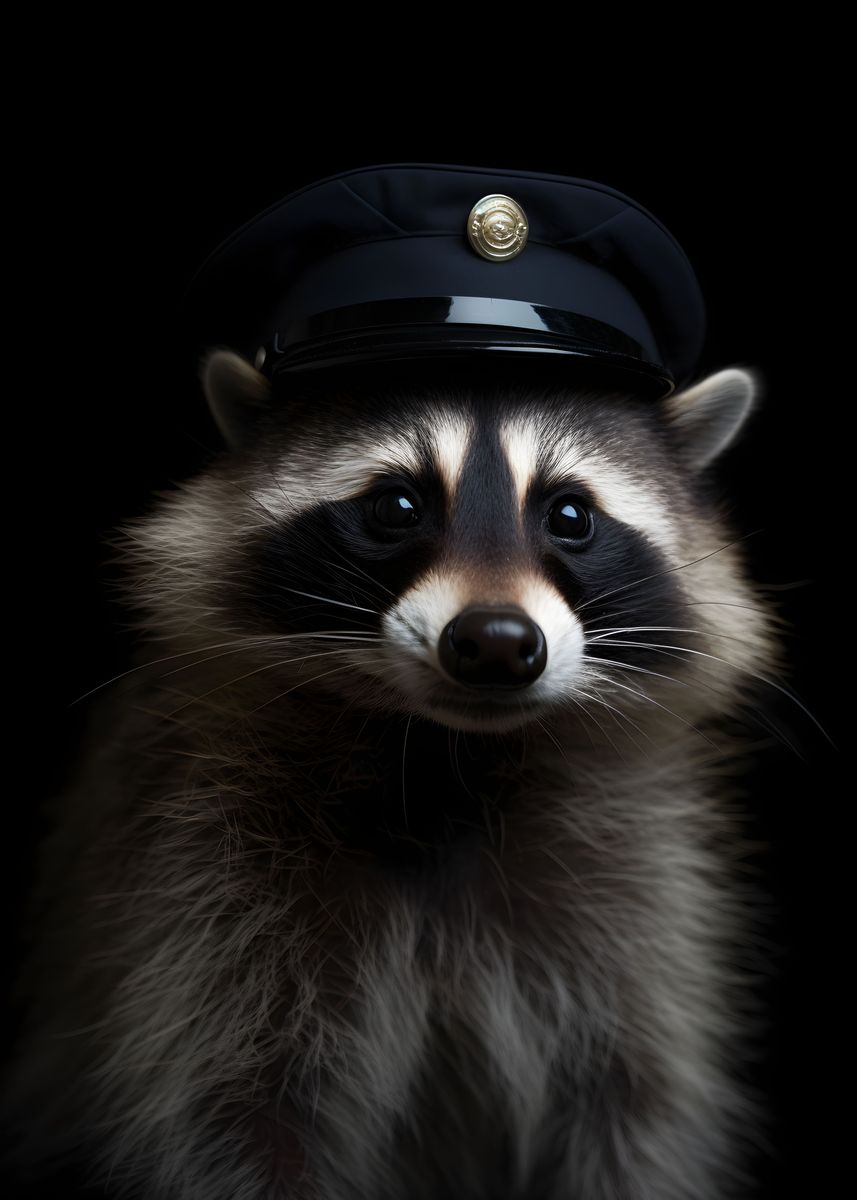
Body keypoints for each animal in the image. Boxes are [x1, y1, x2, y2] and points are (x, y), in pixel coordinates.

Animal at [5, 352, 781, 1199]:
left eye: (571, 516)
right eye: (397, 507)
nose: (496, 642)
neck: (447, 758)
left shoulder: (635, 904)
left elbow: (634, 1107)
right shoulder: (200, 888)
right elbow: (237, 1118)